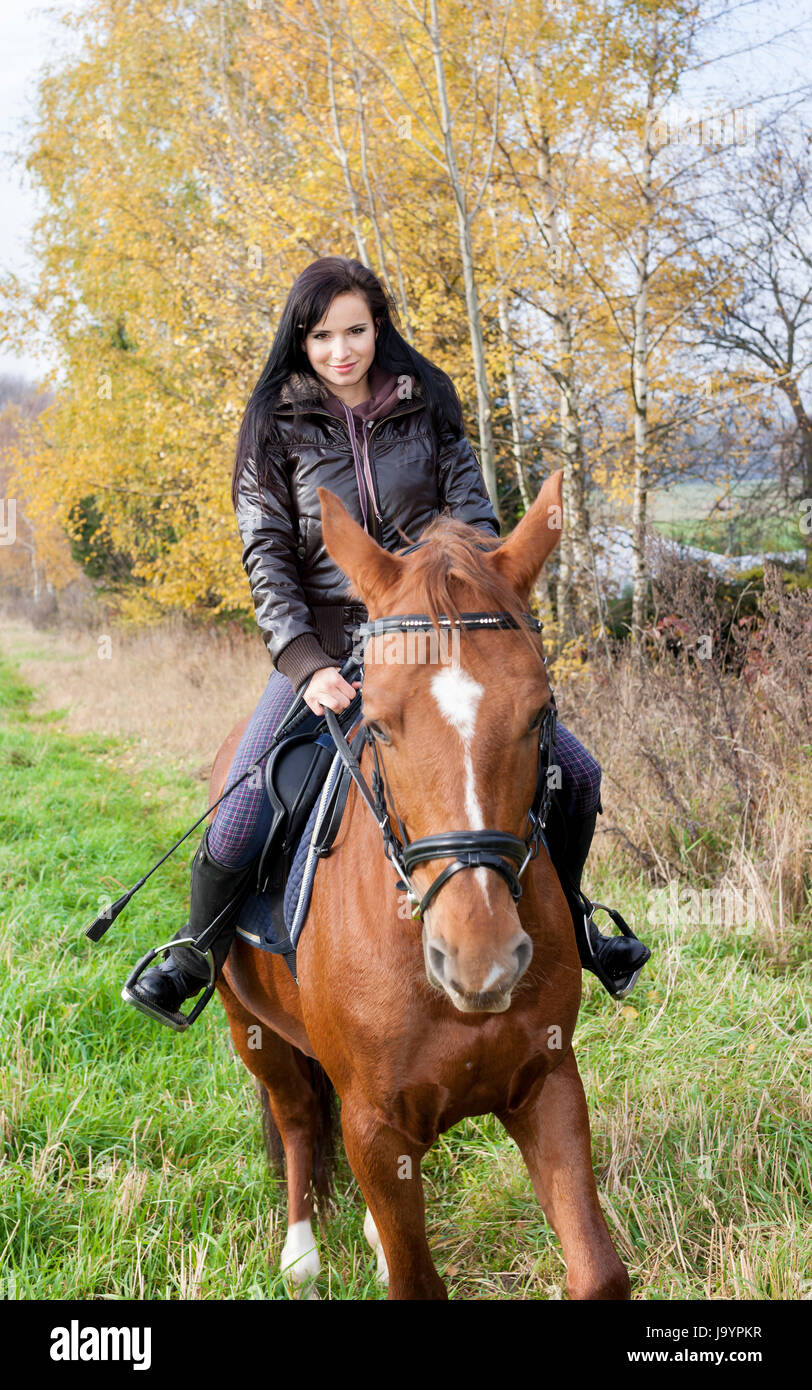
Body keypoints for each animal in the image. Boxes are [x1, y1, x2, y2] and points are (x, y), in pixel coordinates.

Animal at [210, 470, 630, 1301]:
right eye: (376, 722)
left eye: (540, 712)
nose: (481, 961)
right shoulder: (374, 1126)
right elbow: (413, 1276)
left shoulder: (549, 1084)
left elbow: (599, 1273)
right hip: (254, 1033)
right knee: (297, 1117)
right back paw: (302, 1255)